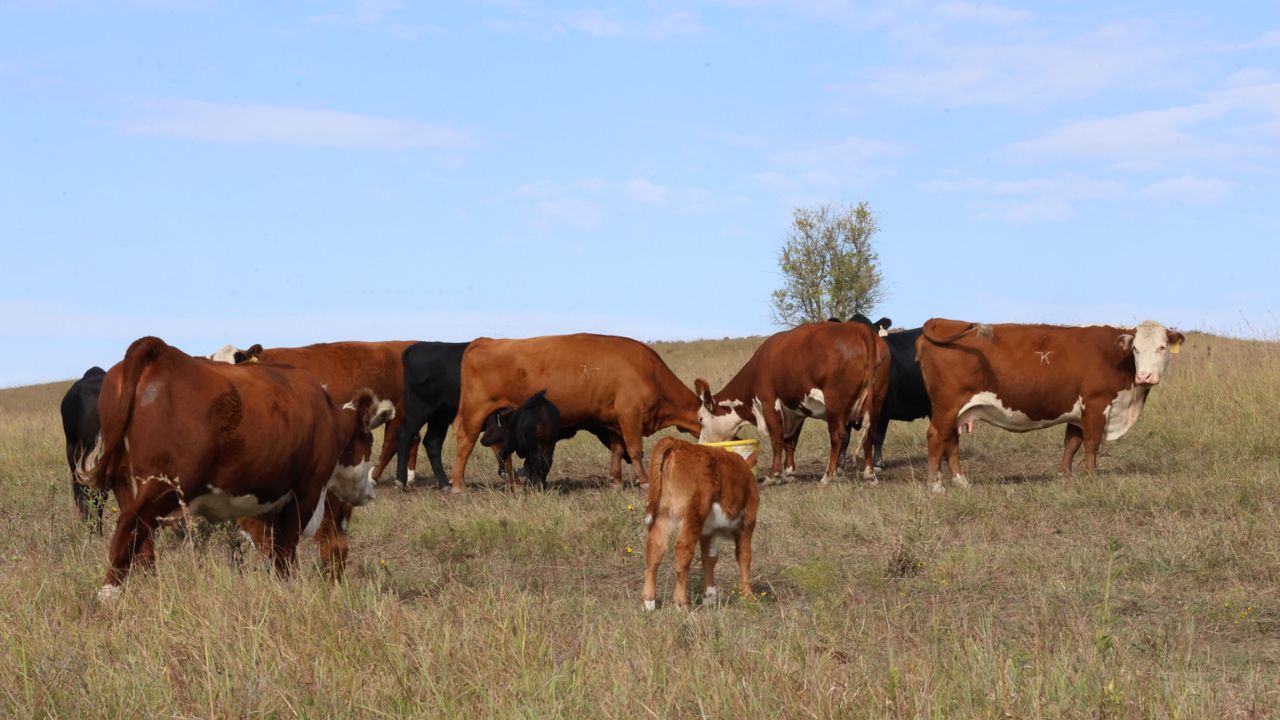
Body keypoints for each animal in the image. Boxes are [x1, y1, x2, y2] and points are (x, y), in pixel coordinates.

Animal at [87, 337, 393, 600]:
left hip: (124, 483)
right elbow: (285, 549)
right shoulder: (305, 492)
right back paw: (109, 593)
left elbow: (275, 551)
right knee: (129, 526)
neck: (327, 416)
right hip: (160, 487)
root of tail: (161, 353)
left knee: (142, 541)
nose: (371, 488)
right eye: (367, 438)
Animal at [450, 333, 702, 492]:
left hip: (498, 418)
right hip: (475, 412)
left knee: (499, 447)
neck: (651, 373)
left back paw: (515, 484)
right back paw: (458, 485)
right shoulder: (630, 415)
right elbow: (635, 450)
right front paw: (644, 482)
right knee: (465, 442)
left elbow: (618, 450)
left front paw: (616, 481)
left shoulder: (614, 421)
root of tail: (483, 342)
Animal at [641, 438, 759, 610]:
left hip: (663, 513)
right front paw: (748, 596)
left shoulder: (708, 530)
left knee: (655, 548)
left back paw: (648, 602)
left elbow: (709, 558)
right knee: (683, 549)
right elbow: (744, 556)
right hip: (694, 511)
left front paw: (709, 596)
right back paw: (680, 603)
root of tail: (679, 443)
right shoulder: (747, 522)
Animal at [694, 321, 887, 485]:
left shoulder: (769, 403)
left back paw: (828, 476)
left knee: (838, 435)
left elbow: (777, 440)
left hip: (835, 404)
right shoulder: (795, 411)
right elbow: (790, 441)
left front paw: (774, 475)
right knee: (869, 434)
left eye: (700, 419)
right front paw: (789, 472)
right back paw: (869, 474)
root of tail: (859, 328)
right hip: (876, 402)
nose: (701, 445)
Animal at [916, 319, 1185, 493]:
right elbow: (1091, 443)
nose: (1145, 376)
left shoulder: (1078, 411)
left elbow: (1072, 443)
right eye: (1136, 349)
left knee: (951, 441)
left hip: (956, 411)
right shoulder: (1095, 403)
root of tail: (943, 322)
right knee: (937, 437)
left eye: (1162, 347)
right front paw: (1090, 476)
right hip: (946, 406)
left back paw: (961, 482)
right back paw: (935, 485)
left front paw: (1065, 474)